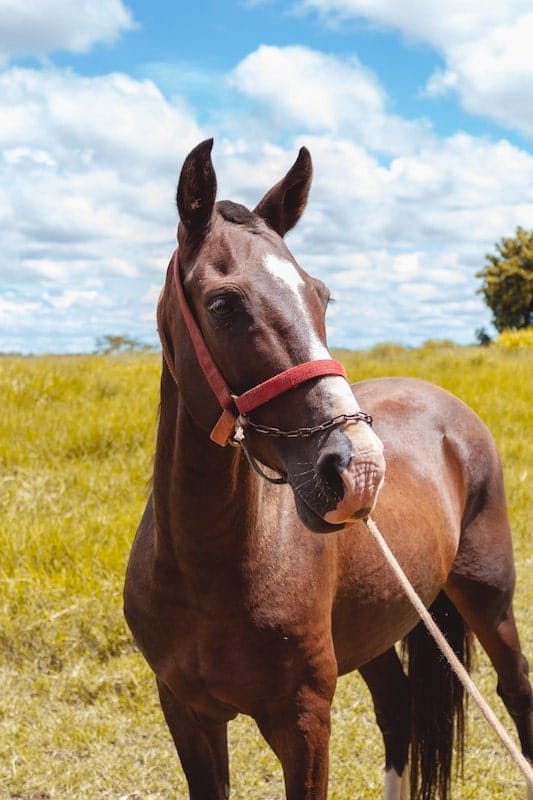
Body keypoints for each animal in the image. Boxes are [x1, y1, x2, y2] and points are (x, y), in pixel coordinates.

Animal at [124, 139, 533, 800]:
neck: (204, 566)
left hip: (488, 596)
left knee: (516, 690)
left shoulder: (304, 722)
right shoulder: (186, 713)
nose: (358, 469)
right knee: (398, 710)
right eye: (223, 304)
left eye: (321, 295)